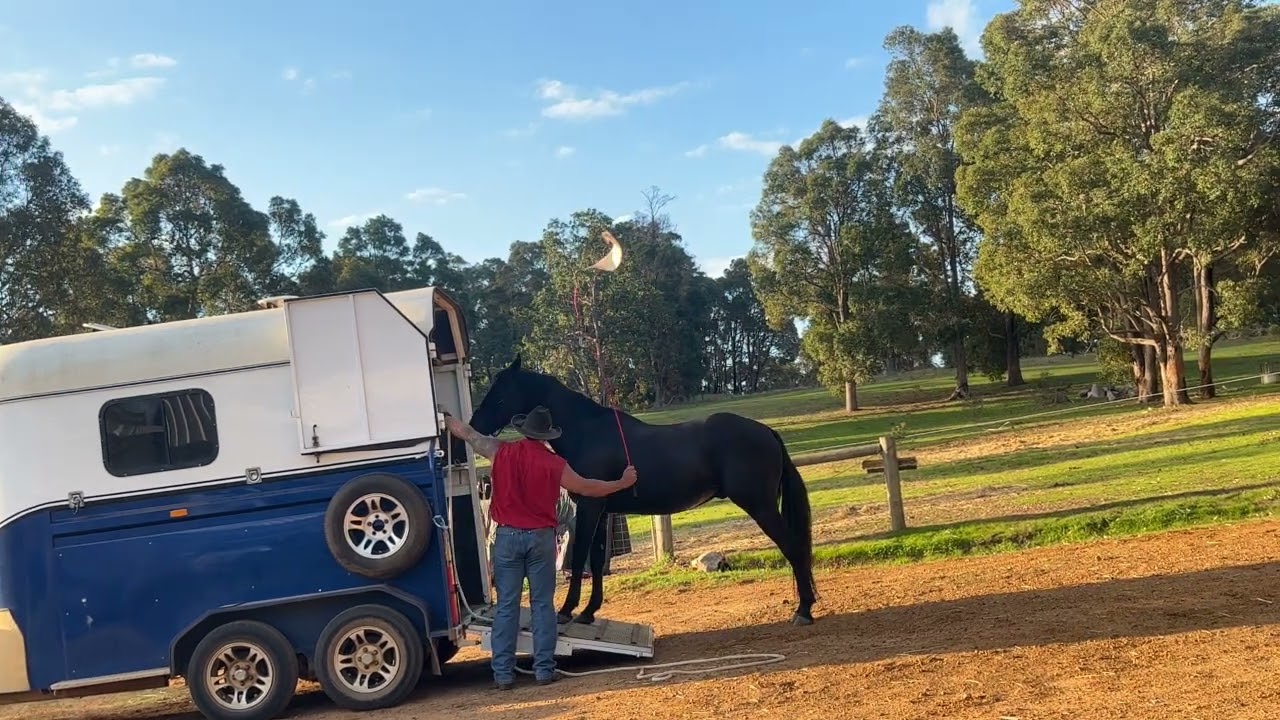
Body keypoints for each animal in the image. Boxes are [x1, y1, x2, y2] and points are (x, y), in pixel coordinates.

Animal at [467, 355, 819, 627]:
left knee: (793, 548)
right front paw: (589, 612)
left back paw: (803, 610)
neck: (587, 432)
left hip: (760, 506)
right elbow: (597, 560)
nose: (473, 425)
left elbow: (580, 557)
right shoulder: (602, 512)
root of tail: (766, 431)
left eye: (499, 394)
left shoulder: (590, 508)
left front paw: (567, 610)